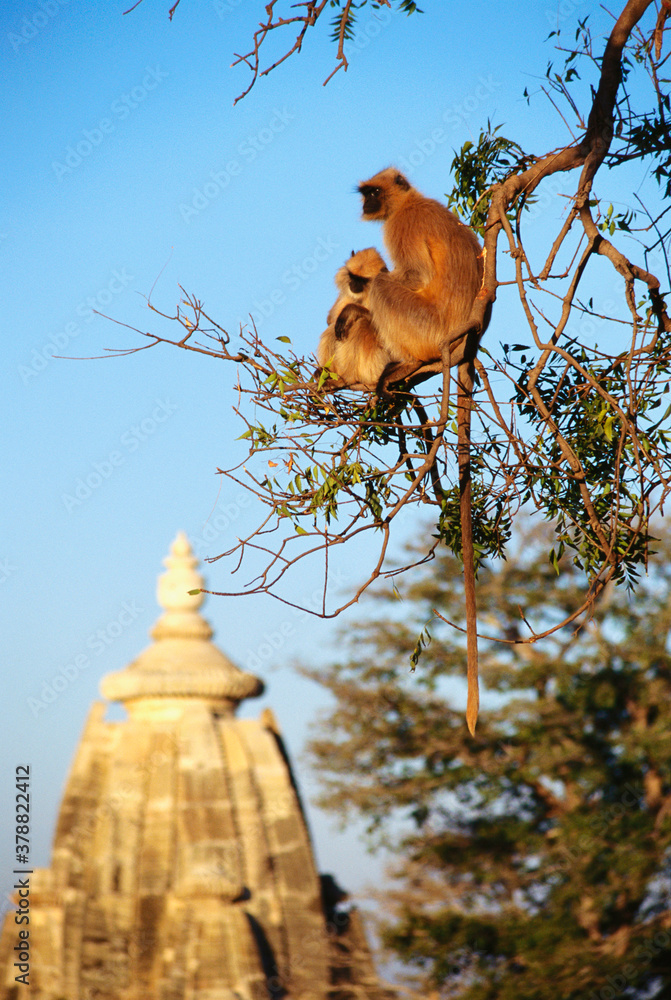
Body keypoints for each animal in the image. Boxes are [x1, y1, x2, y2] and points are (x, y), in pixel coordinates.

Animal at [317, 247, 392, 387]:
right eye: (352, 276)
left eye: (362, 280)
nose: (353, 284)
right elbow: (330, 320)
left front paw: (350, 310)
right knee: (334, 329)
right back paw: (327, 374)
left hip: (377, 364)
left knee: (362, 323)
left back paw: (348, 378)